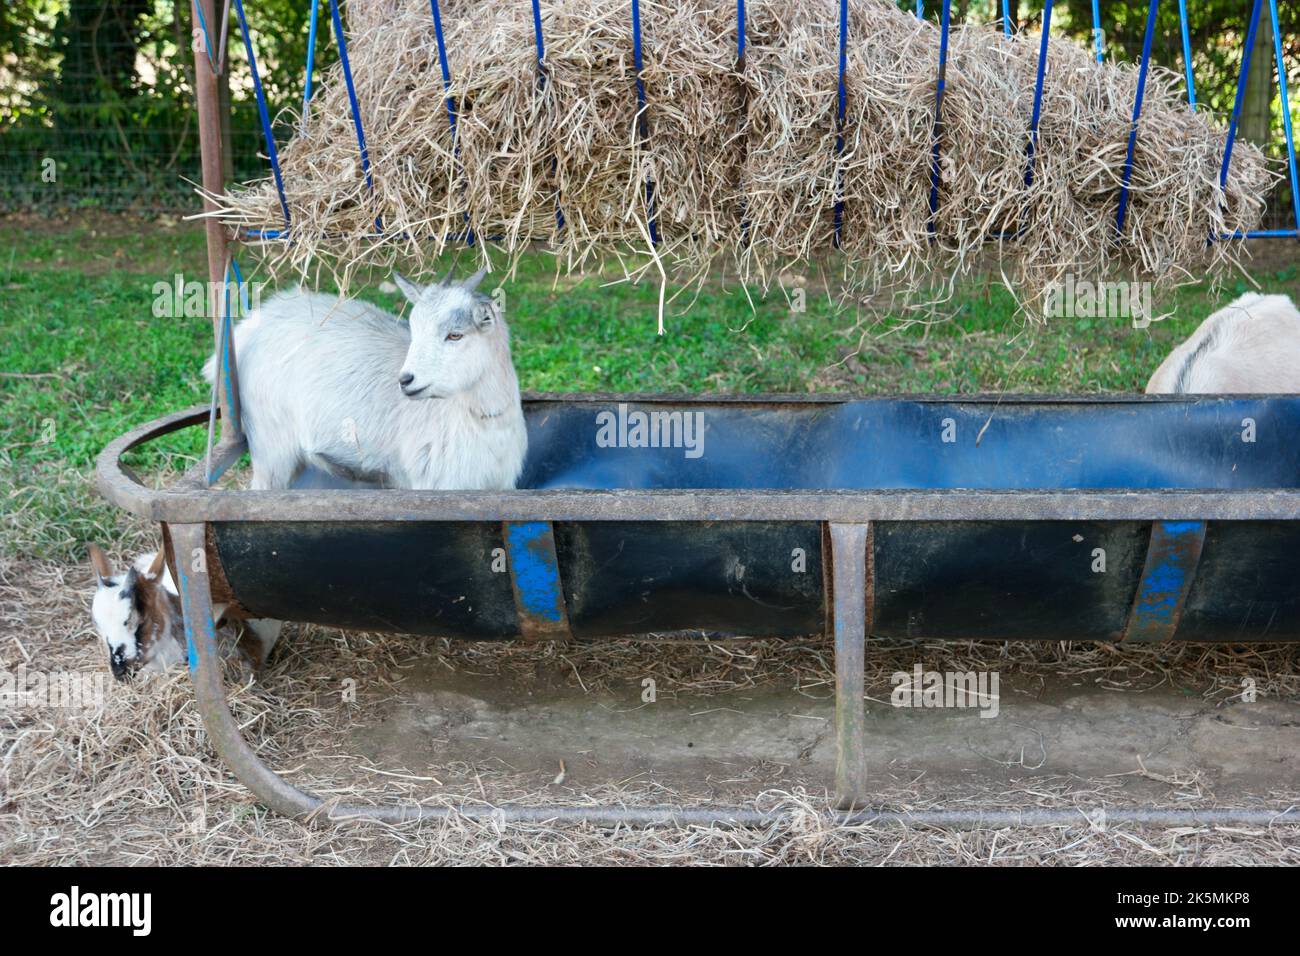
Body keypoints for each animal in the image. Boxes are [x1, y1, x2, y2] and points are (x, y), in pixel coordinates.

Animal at [203, 270, 527, 491]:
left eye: (455, 334)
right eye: (413, 328)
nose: (406, 380)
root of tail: (251, 325)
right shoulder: (436, 484)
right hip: (270, 447)